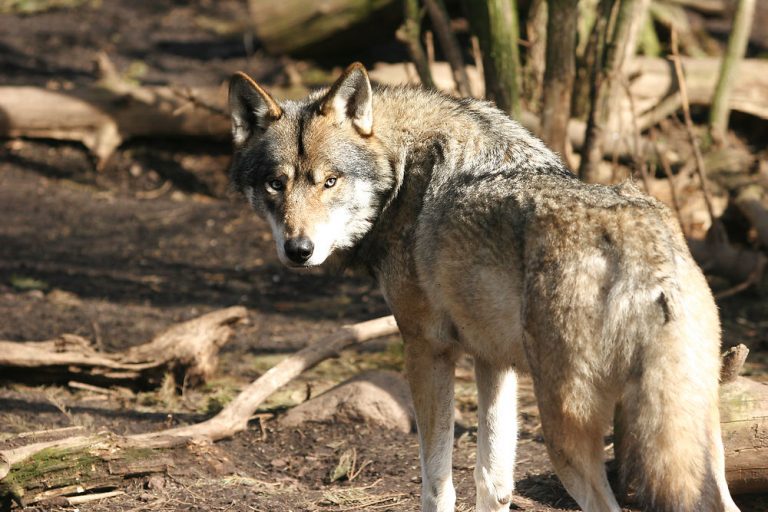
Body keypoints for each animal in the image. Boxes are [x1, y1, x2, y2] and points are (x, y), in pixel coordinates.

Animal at [227, 63, 739, 512]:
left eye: (330, 181)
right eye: (275, 184)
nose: (299, 249)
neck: (402, 172)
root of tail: (644, 250)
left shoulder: (427, 350)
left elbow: (437, 484)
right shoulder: (493, 359)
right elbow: (492, 480)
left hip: (565, 432)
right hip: (693, 431)